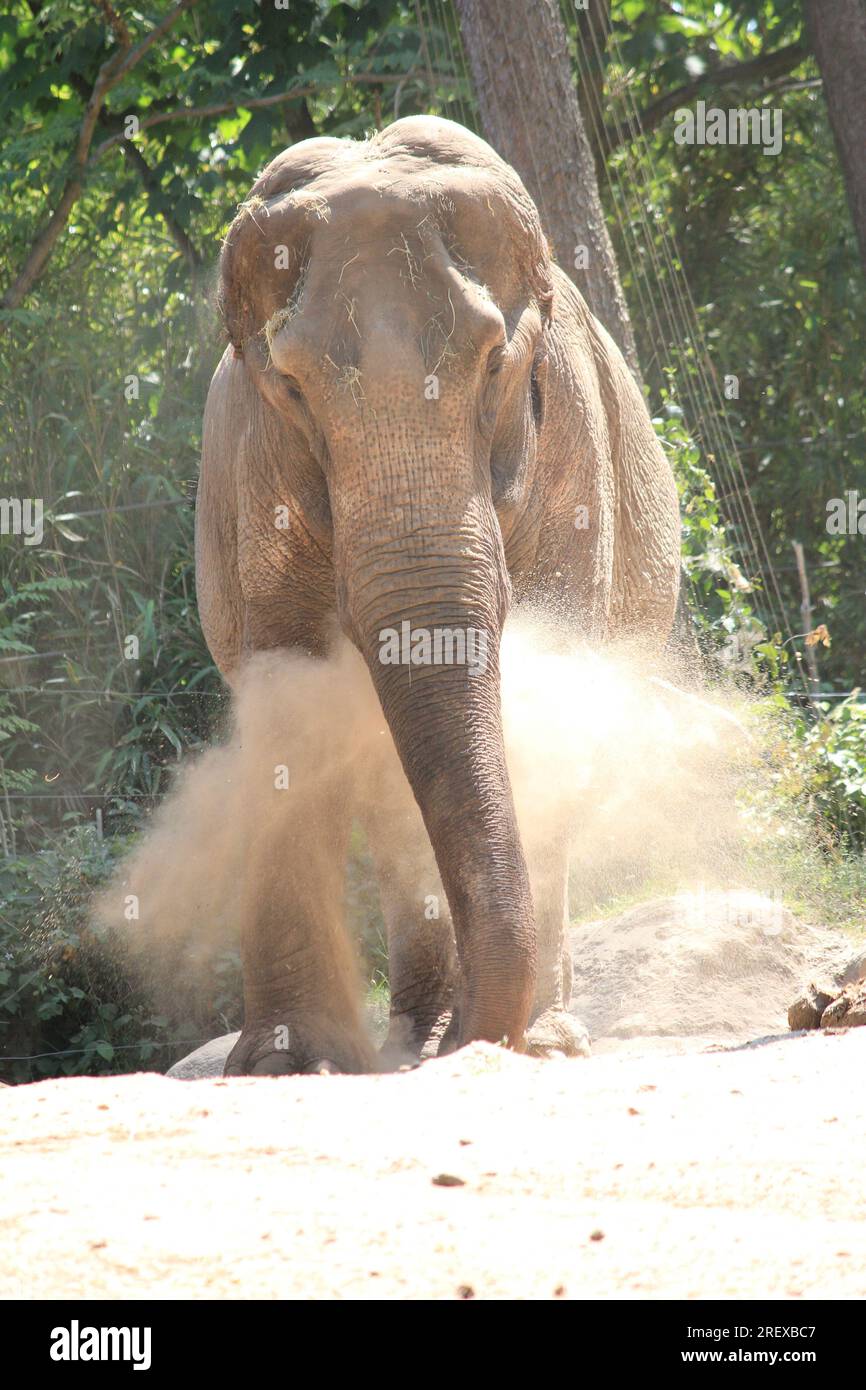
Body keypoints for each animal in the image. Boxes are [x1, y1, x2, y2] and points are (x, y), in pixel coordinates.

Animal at [196, 115, 680, 1076]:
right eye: (291, 386)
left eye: (496, 362)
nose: (473, 1038)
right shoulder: (257, 470)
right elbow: (284, 694)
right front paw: (283, 1064)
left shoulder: (570, 441)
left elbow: (555, 666)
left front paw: (543, 1045)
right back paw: (411, 1040)